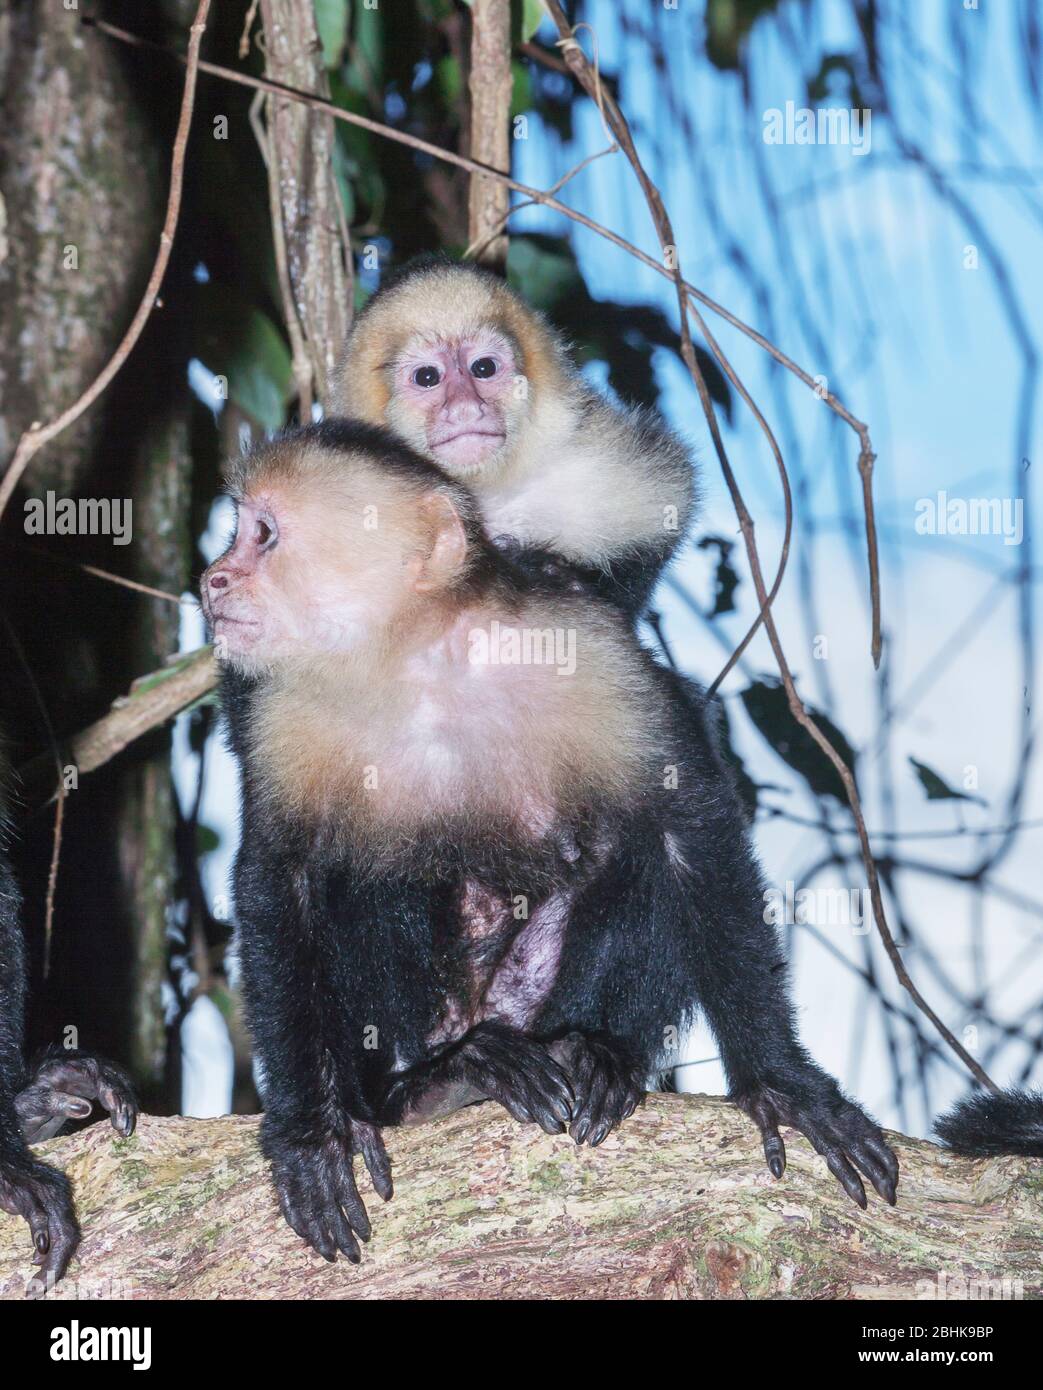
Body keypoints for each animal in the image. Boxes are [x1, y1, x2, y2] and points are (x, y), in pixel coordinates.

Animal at [201, 418, 900, 1265]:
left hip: (536, 998)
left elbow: (688, 827)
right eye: (239, 532)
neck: (419, 659)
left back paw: (596, 1057)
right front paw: (311, 1133)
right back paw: (437, 1080)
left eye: (262, 536)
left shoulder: (587, 646)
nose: (213, 579)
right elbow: (282, 878)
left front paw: (779, 1083)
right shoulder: (280, 714)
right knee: (358, 873)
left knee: (633, 849)